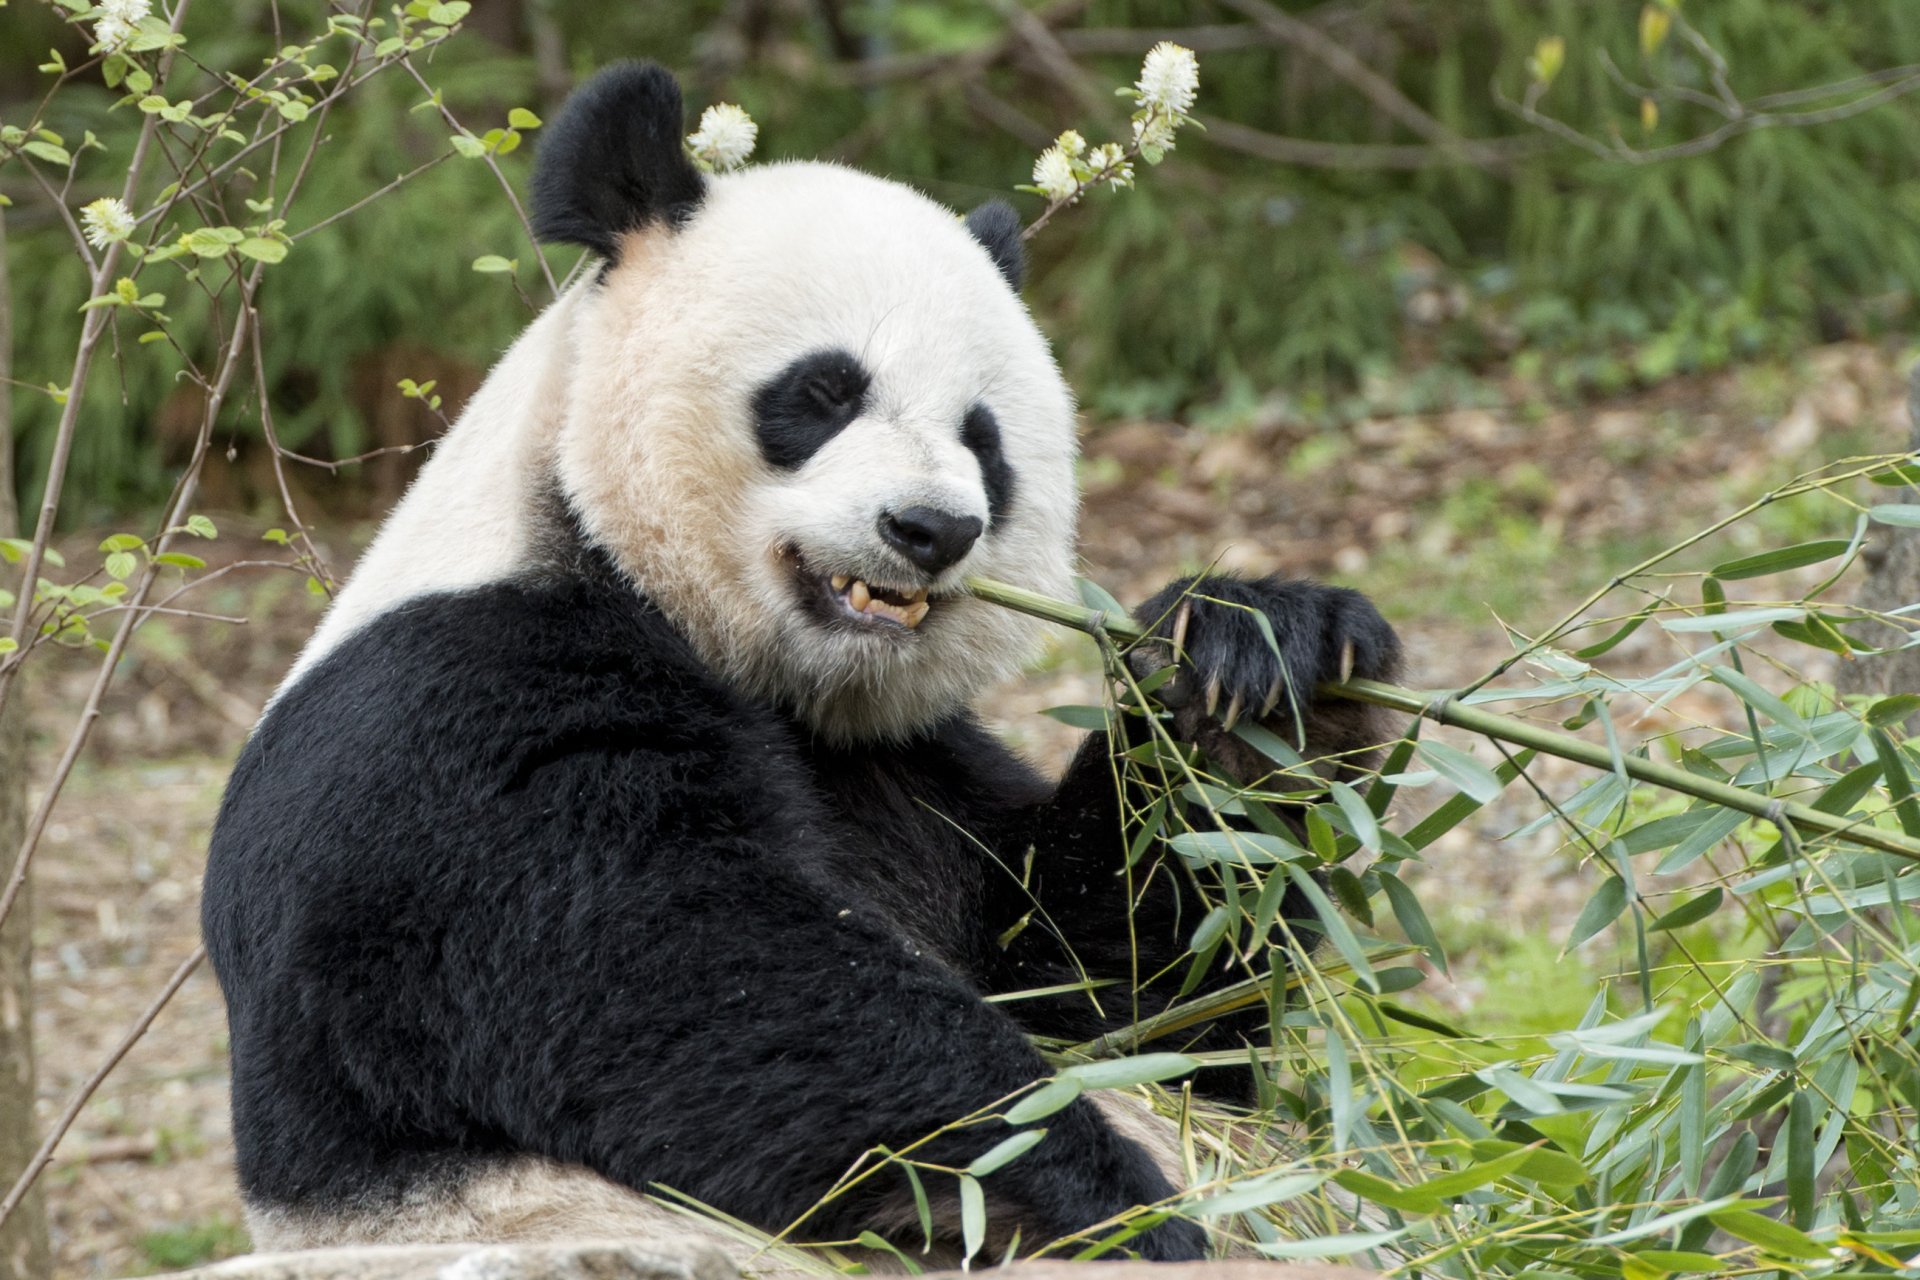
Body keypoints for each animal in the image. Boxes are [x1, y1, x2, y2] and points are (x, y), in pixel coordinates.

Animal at [202, 61, 1402, 1267]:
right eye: (825, 392)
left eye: (983, 438)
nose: (931, 528)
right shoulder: (454, 723)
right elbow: (682, 980)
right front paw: (1108, 1194)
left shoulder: (903, 765)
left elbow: (1116, 977)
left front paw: (1267, 678)